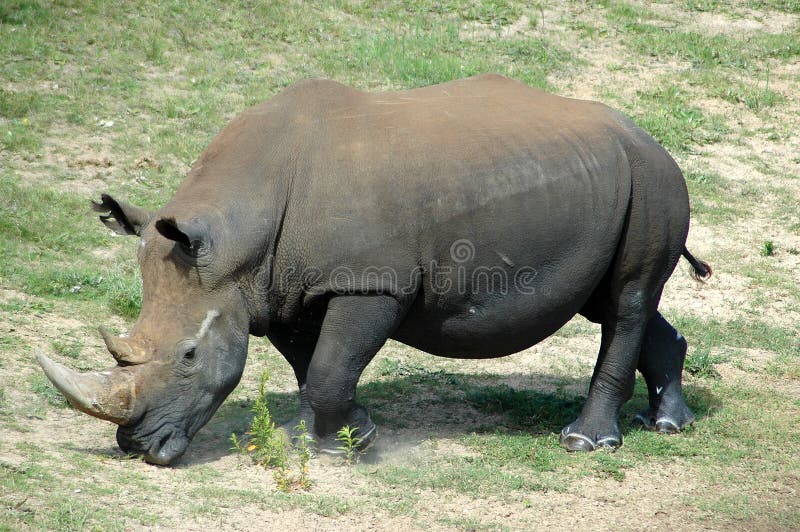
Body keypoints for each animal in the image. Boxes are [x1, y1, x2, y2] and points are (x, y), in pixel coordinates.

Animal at [37, 74, 710, 465]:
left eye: (188, 357)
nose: (137, 448)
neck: (235, 238)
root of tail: (650, 137)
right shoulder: (279, 288)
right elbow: (313, 364)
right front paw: (350, 434)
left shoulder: (368, 281)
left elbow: (330, 365)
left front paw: (328, 449)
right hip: (603, 182)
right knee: (613, 301)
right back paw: (668, 424)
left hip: (654, 179)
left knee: (626, 299)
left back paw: (587, 443)